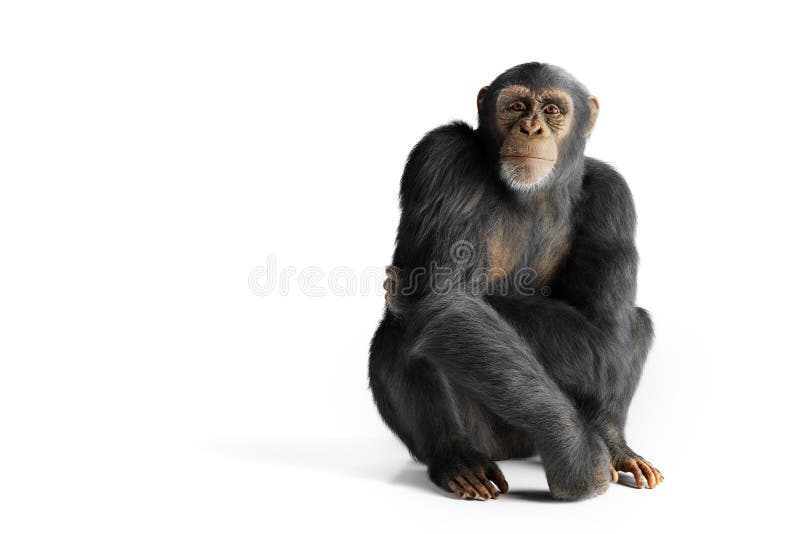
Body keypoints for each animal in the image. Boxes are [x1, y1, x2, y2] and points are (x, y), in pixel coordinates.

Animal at [368, 63, 662, 501]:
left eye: (553, 109)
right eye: (517, 106)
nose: (531, 127)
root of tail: (512, 452)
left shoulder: (614, 196)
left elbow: (604, 331)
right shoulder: (442, 155)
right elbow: (448, 300)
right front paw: (574, 454)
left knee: (634, 321)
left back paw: (614, 443)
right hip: (484, 436)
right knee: (403, 330)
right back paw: (459, 461)